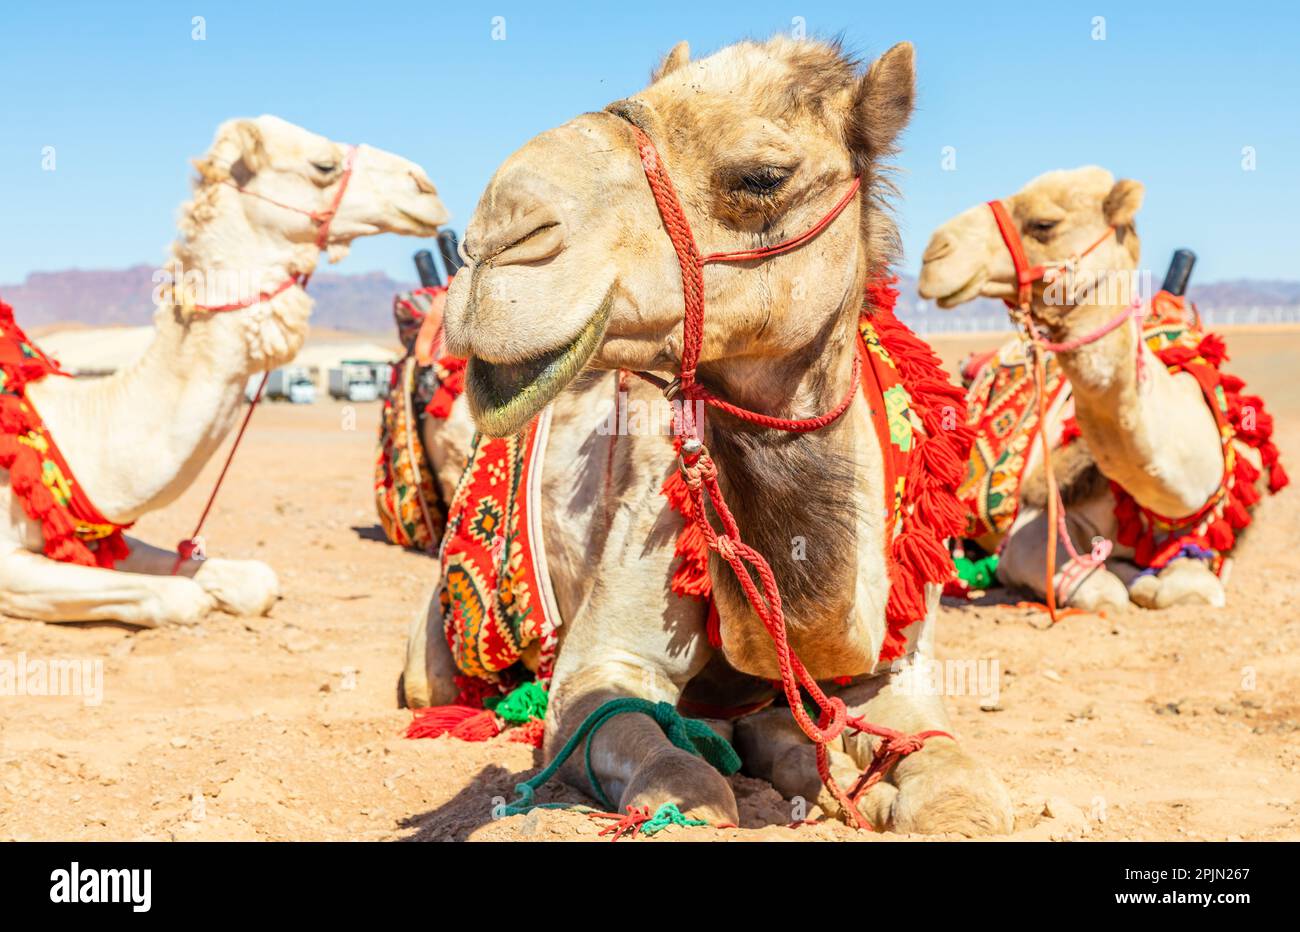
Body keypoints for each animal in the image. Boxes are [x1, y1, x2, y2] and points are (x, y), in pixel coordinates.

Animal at [0, 116, 447, 627]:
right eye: (323, 165)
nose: (426, 187)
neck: (68, 430)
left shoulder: (101, 536)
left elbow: (252, 580)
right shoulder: (9, 561)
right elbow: (181, 597)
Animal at [406, 37, 1013, 834]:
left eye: (763, 176)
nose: (493, 244)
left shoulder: (896, 664)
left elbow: (958, 784)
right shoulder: (601, 665)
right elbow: (668, 767)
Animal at [918, 167, 1274, 612]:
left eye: (1044, 223)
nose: (934, 255)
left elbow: (1193, 587)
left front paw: (1145, 579)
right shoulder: (1029, 531)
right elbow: (1105, 593)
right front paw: (1124, 577)